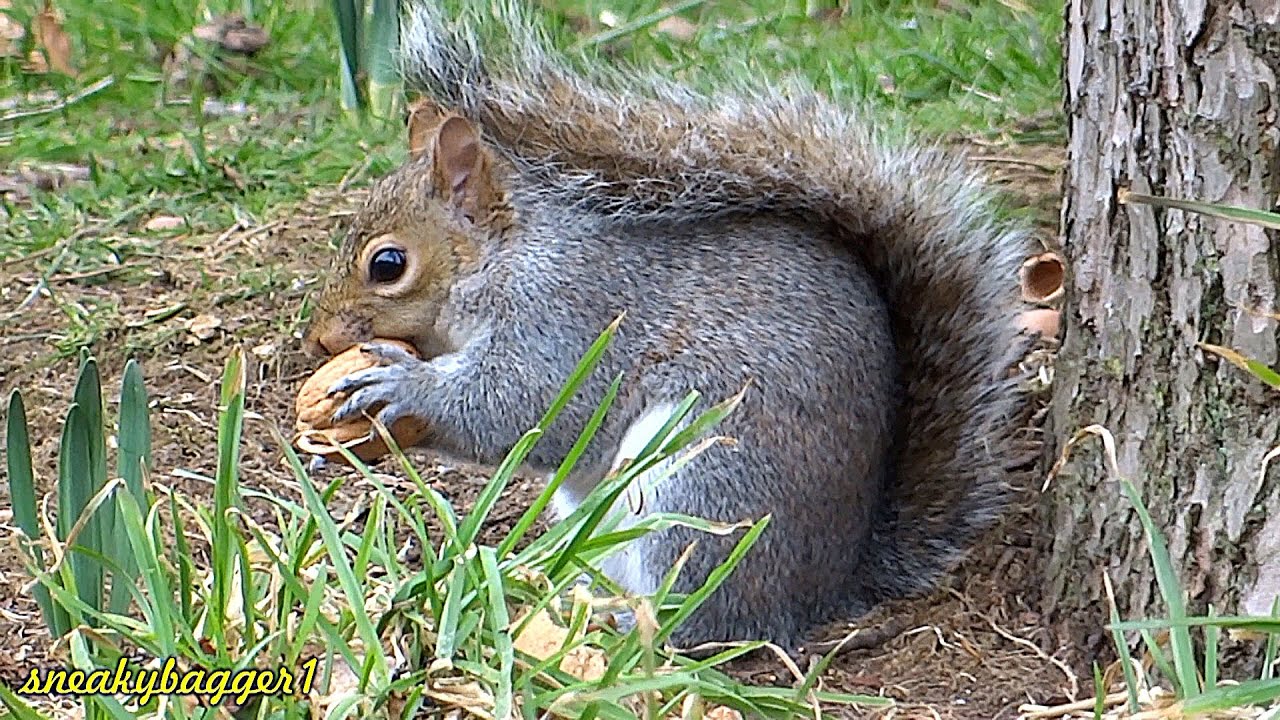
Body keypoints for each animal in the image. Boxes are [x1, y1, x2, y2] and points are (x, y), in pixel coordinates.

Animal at [302, 0, 1039, 651]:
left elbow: (524, 406)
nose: (319, 341)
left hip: (700, 484)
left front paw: (402, 387)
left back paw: (629, 631)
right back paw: (575, 601)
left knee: (701, 625)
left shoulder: (572, 312)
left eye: (388, 264)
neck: (503, 259)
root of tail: (827, 589)